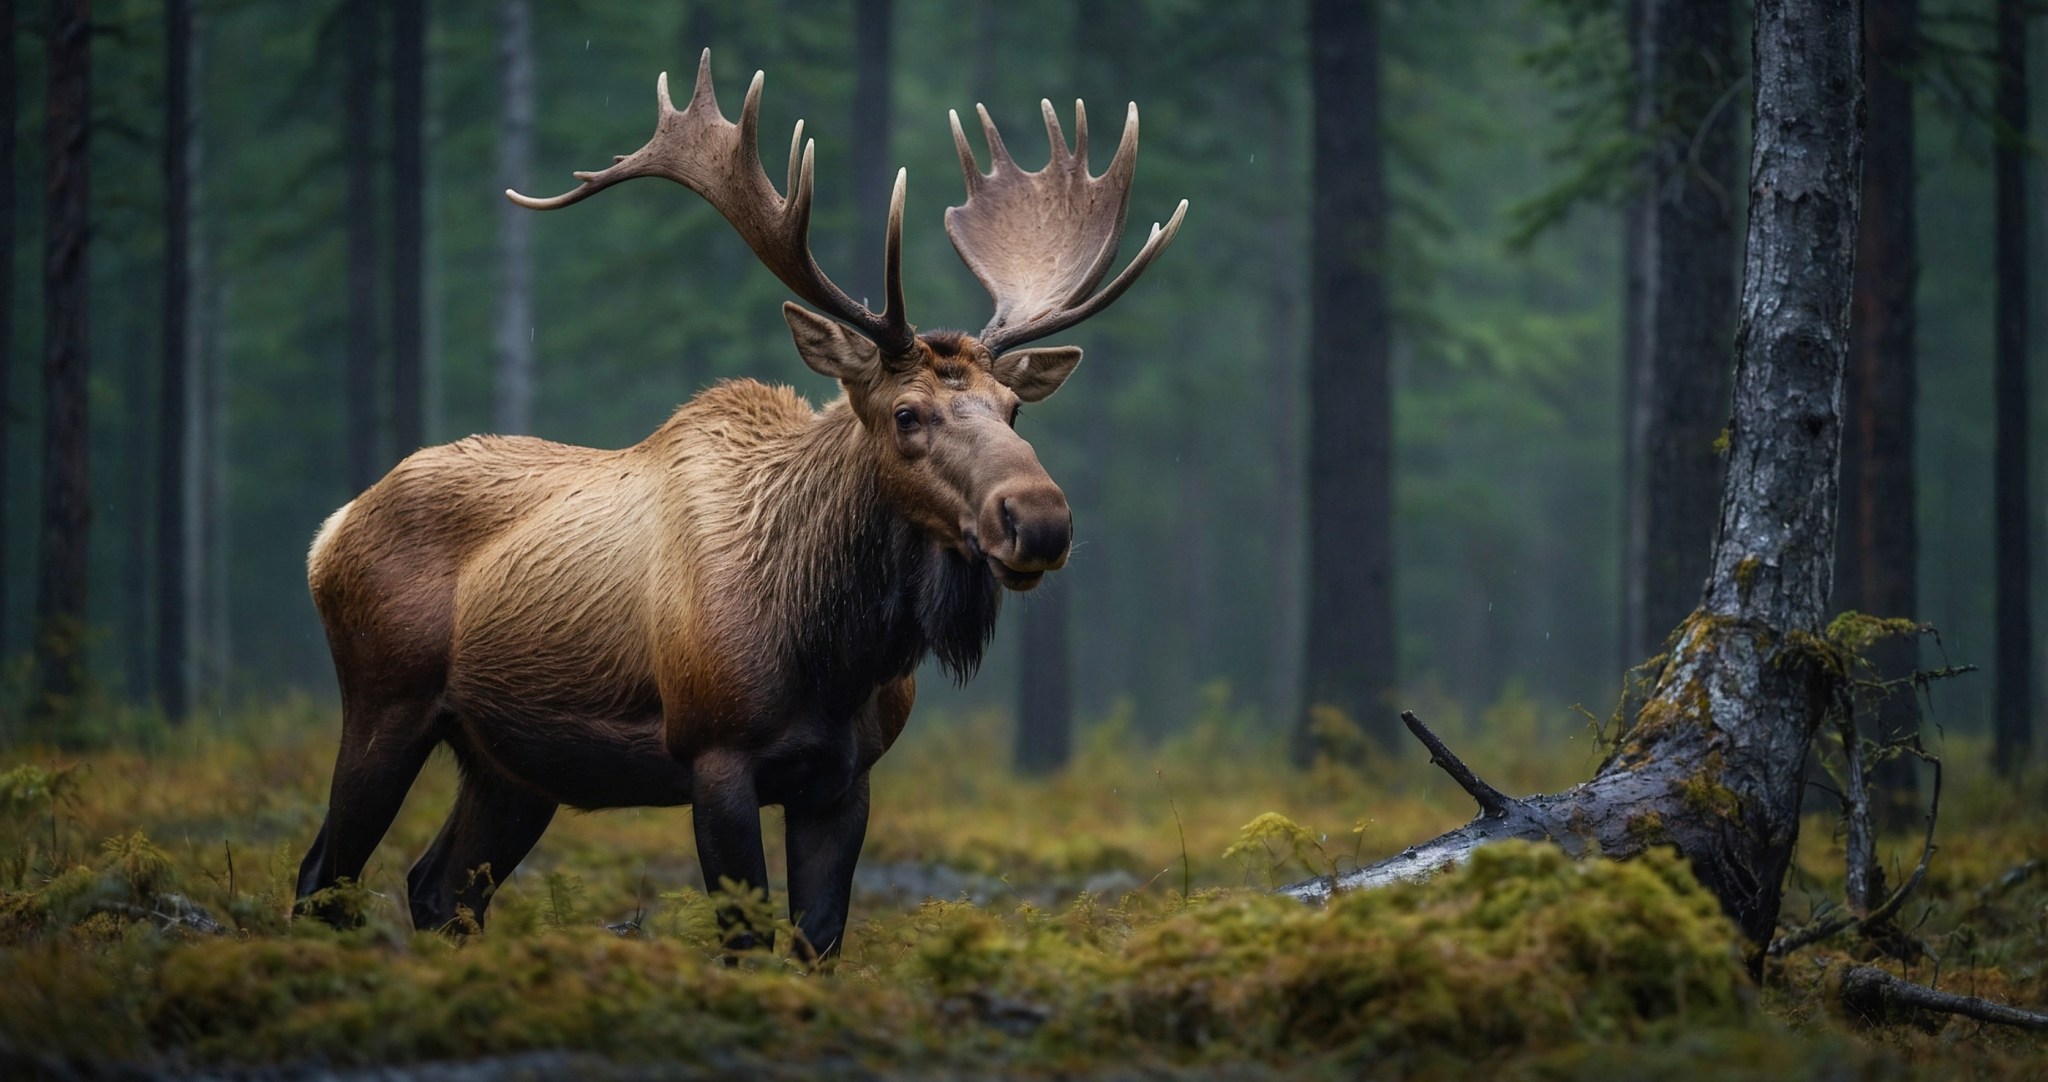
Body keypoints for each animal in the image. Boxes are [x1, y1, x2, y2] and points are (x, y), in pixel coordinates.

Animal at [293, 50, 1186, 958]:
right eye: (907, 414)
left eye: (1013, 410)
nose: (1039, 518)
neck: (837, 652)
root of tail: (328, 533)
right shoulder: (716, 757)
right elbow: (747, 941)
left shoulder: (845, 779)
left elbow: (818, 939)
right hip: (385, 700)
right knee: (325, 873)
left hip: (513, 764)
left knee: (439, 888)